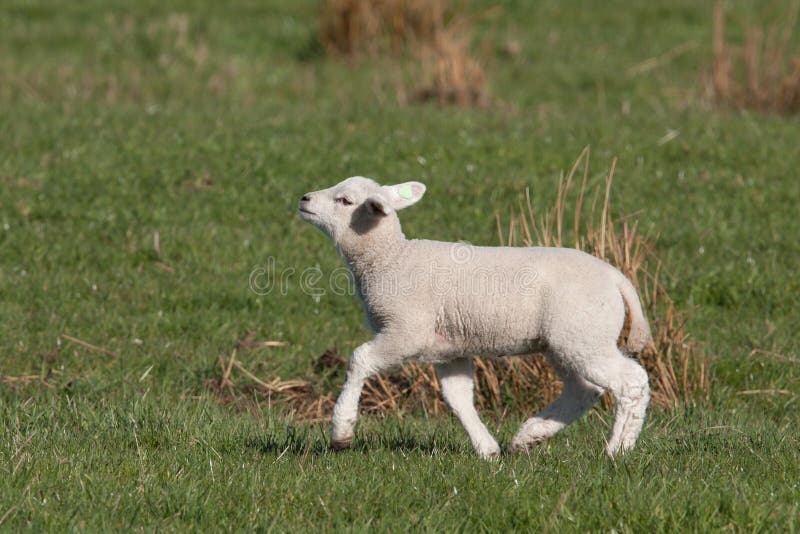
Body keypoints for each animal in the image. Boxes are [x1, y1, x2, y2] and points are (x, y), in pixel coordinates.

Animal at [298, 176, 651, 459]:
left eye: (345, 200)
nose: (304, 199)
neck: (390, 259)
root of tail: (617, 278)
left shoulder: (406, 331)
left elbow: (359, 359)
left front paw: (341, 431)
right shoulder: (448, 348)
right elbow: (457, 398)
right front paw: (487, 449)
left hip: (583, 335)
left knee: (632, 382)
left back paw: (617, 449)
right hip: (566, 340)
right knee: (583, 390)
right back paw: (530, 436)